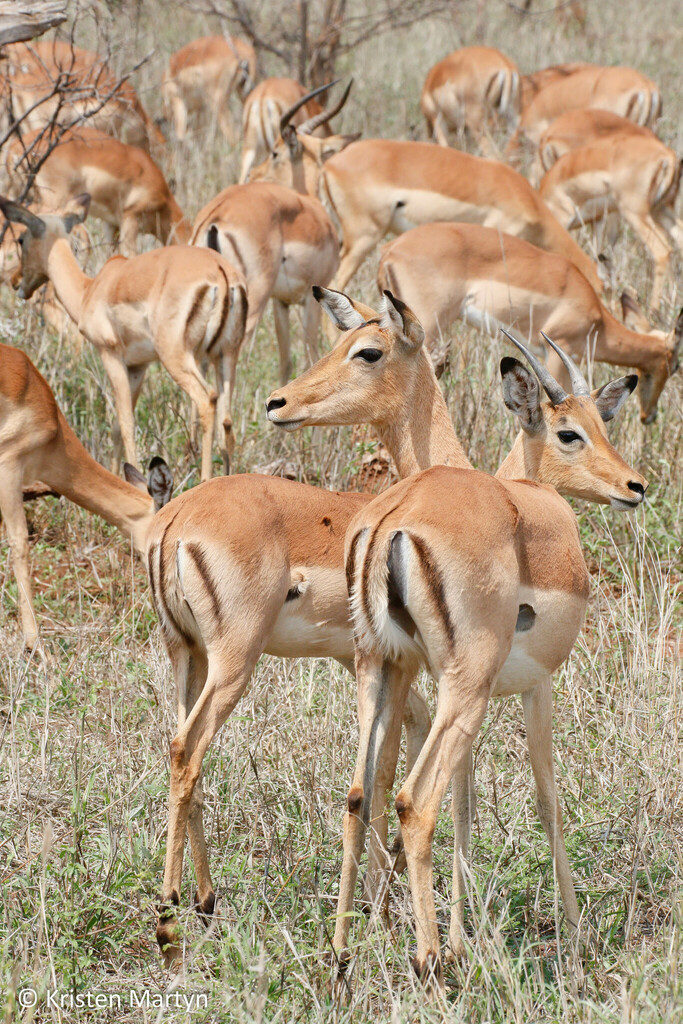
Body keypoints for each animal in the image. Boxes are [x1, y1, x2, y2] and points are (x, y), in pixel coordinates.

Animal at [0, 195, 248, 480]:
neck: (90, 290)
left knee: (207, 399)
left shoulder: (111, 355)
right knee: (227, 422)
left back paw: (205, 479)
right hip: (226, 356)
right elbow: (119, 427)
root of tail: (221, 272)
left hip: (176, 357)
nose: (17, 281)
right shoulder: (138, 366)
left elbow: (125, 421)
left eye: (21, 239)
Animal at [149, 287, 641, 967]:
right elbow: (532, 798)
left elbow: (397, 791)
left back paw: (234, 920)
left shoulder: (401, 679)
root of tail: (173, 523)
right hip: (257, 663)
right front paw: (557, 935)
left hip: (193, 657)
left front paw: (391, 922)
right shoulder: (513, 684)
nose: (633, 485)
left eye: (365, 347)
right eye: (570, 432)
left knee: (198, 753)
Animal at [539, 133, 683, 308]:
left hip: (634, 213)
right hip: (661, 210)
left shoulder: (562, 220)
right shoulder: (598, 221)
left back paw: (652, 309)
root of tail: (668, 155)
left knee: (662, 251)